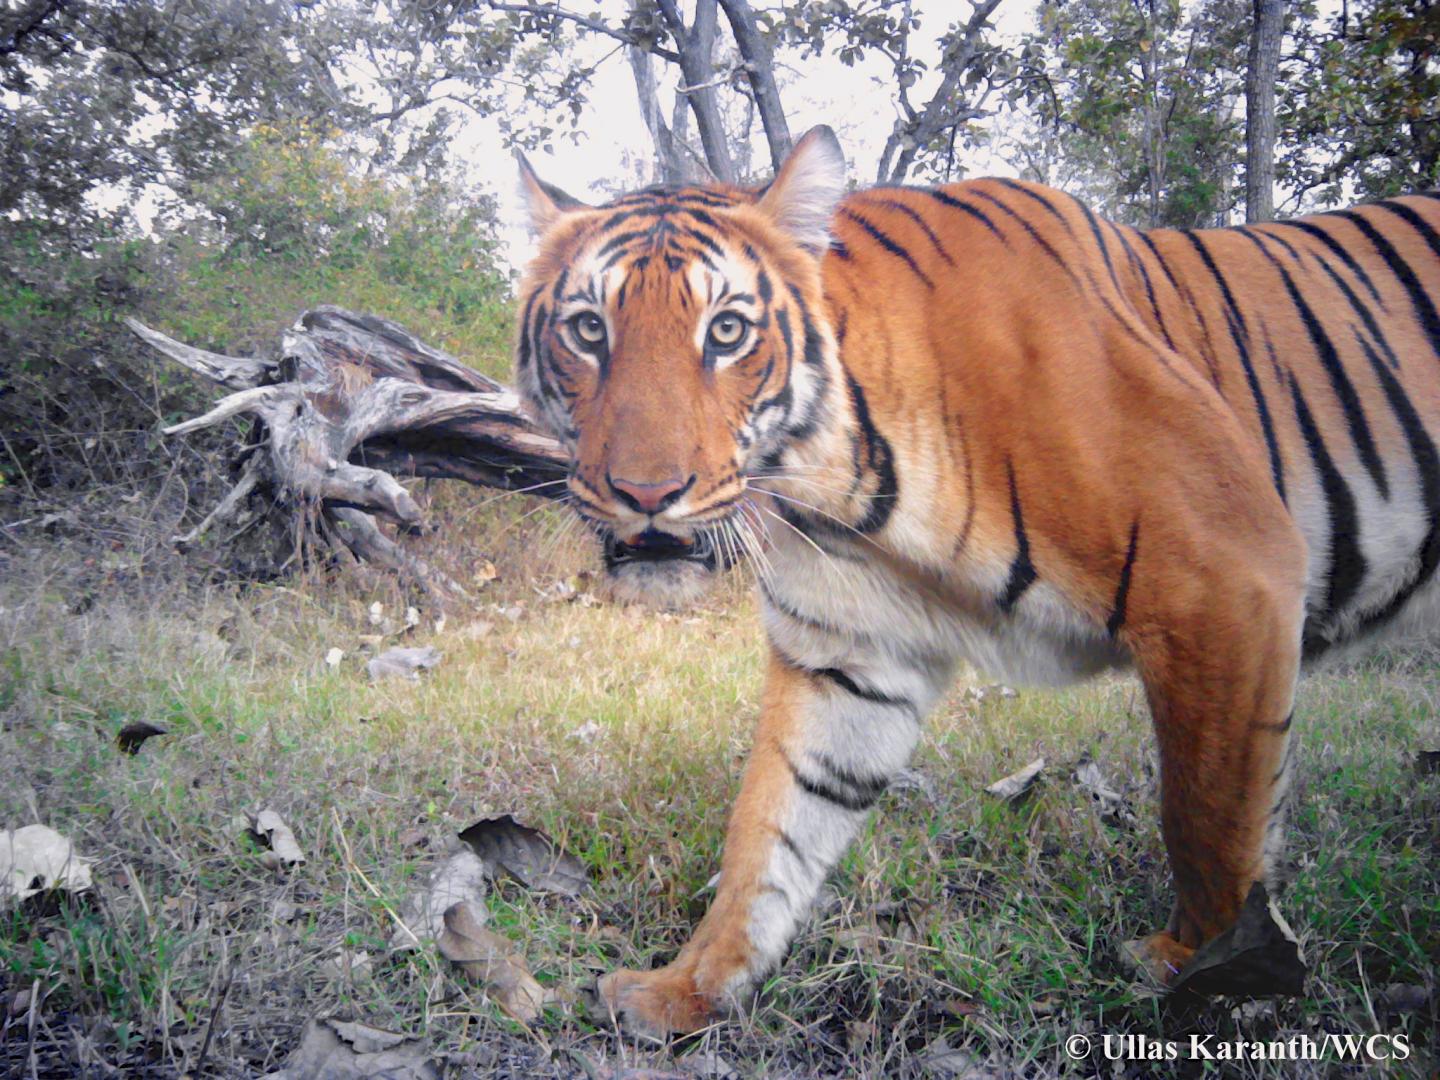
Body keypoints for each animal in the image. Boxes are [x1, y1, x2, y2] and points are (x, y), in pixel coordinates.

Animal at [512, 125, 1440, 1036]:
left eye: (729, 331)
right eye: (588, 331)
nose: (645, 493)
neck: (840, 491)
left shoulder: (1229, 574)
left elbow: (1210, 818)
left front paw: (1209, 972)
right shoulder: (848, 652)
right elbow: (772, 827)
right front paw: (688, 989)